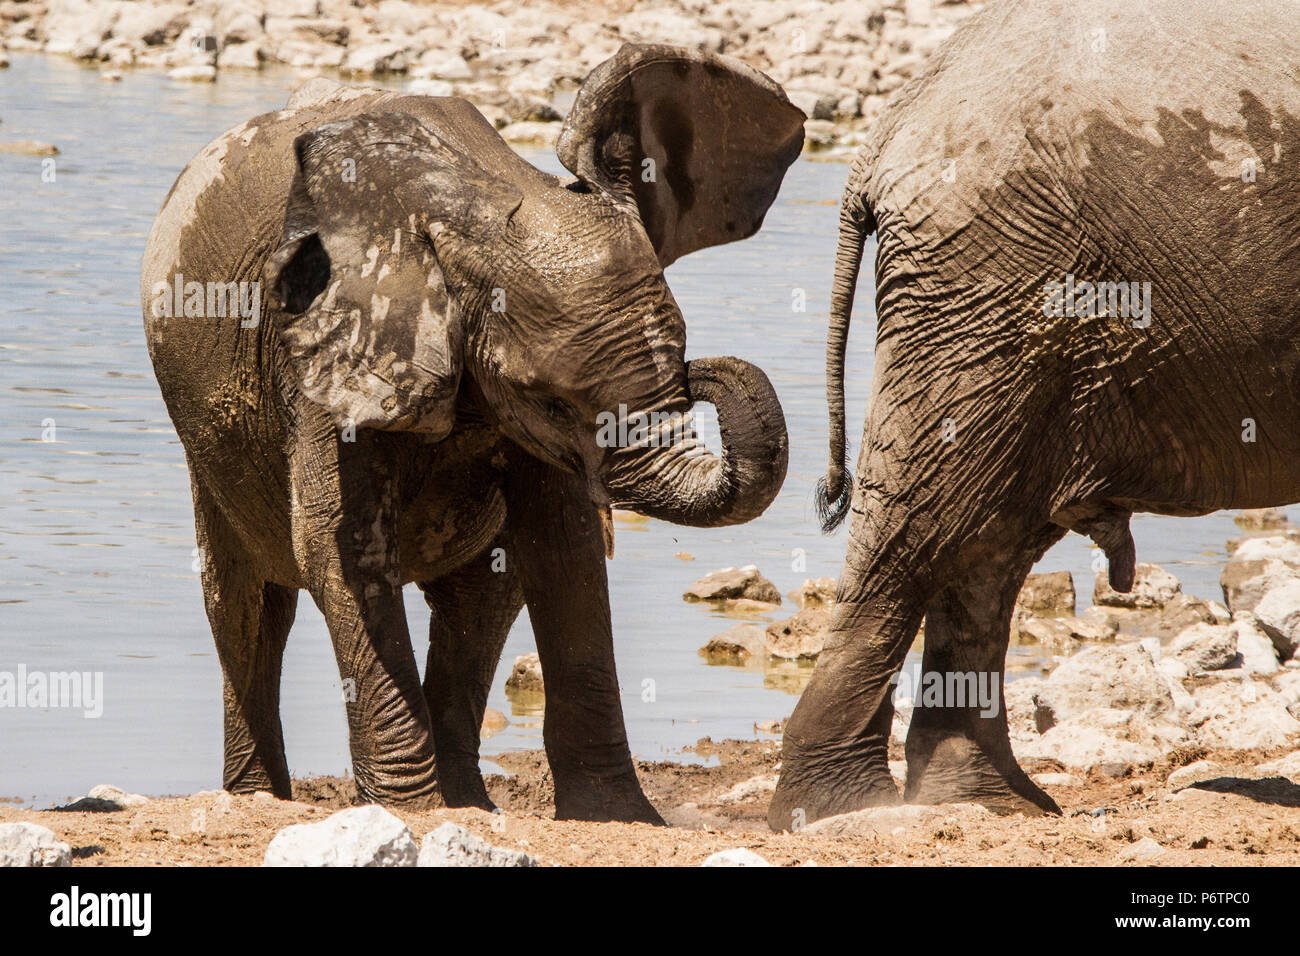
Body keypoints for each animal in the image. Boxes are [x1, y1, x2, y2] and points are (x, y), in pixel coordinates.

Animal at [141, 44, 803, 823]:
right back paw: (261, 800)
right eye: (550, 401)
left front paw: (618, 816)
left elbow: (566, 546)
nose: (701, 373)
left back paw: (470, 806)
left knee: (483, 599)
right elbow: (339, 546)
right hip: (207, 435)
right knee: (246, 600)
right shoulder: (323, 355)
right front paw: (410, 813)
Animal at [770, 0, 1300, 830]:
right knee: (923, 530)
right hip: (993, 284)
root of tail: (886, 138)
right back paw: (840, 810)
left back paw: (992, 804)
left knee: (987, 543)